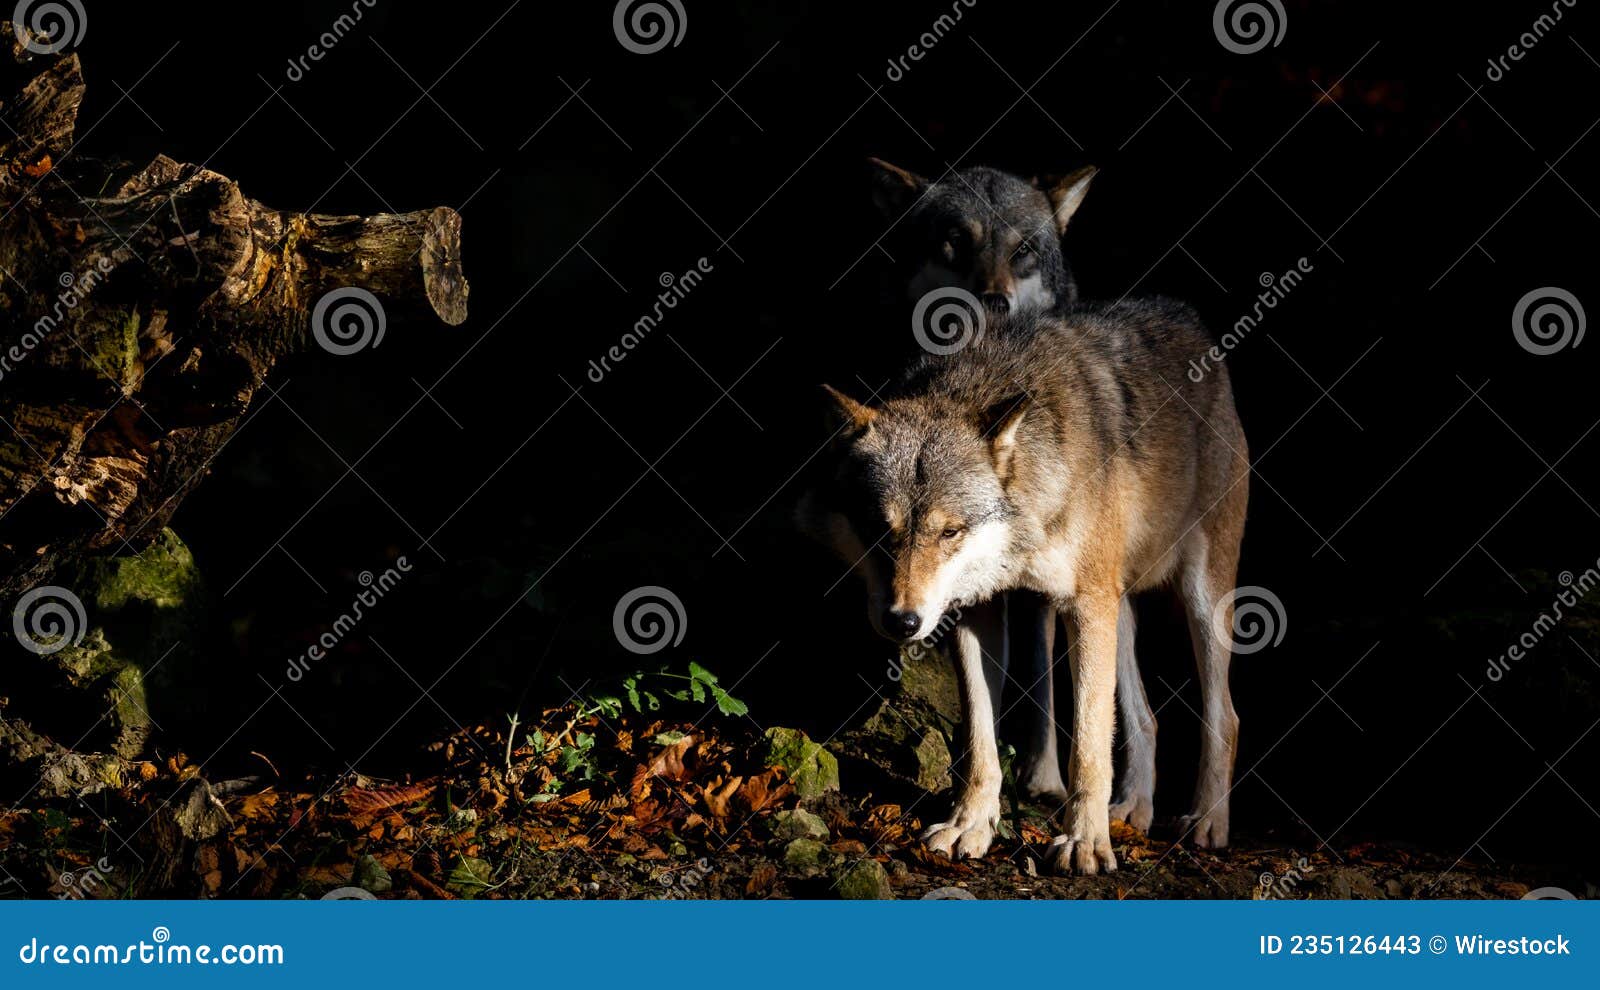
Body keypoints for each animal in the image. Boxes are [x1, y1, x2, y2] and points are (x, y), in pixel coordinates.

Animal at [799, 301, 1248, 873]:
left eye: (950, 532)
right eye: (880, 529)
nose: (903, 621)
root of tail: (1184, 316)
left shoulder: (1084, 606)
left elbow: (1087, 750)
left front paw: (1084, 843)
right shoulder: (976, 612)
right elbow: (981, 742)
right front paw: (969, 826)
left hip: (1198, 600)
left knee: (1225, 715)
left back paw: (1208, 822)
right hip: (1114, 611)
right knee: (1146, 719)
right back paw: (1133, 811)